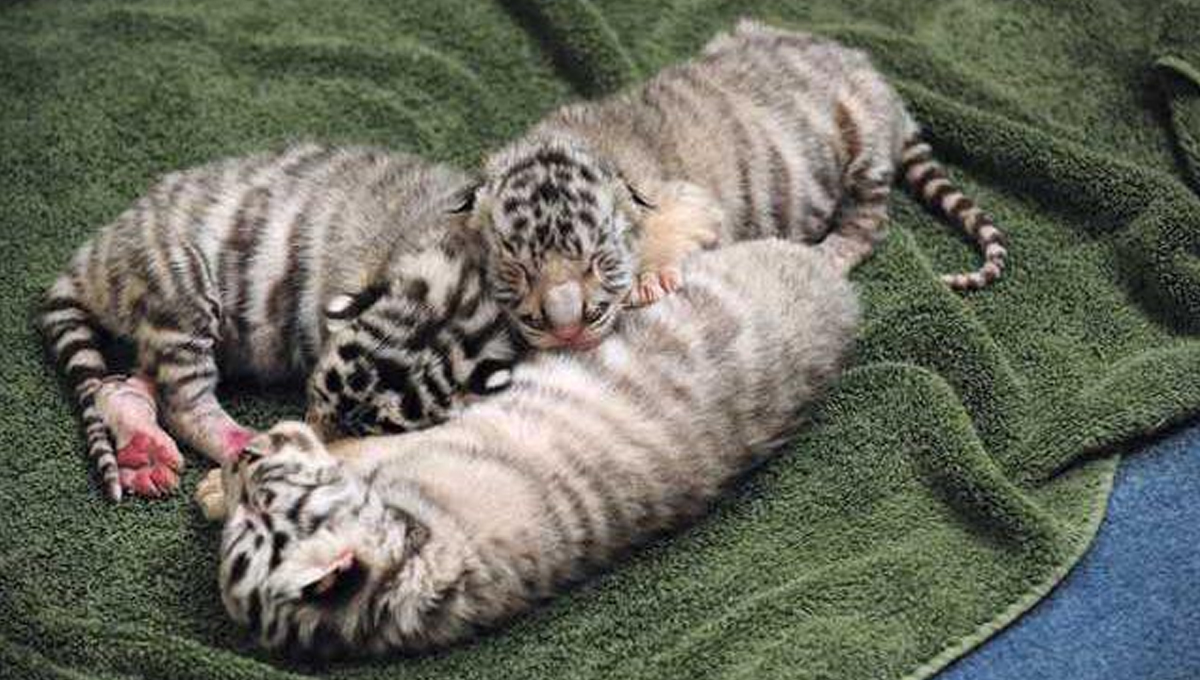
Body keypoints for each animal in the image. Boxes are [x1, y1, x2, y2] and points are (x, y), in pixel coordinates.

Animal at [40, 144, 520, 501]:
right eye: (313, 399)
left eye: (368, 432)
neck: (465, 286)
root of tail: (92, 255)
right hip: (181, 290)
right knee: (184, 403)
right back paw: (231, 441)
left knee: (120, 385)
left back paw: (143, 451)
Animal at [467, 19, 1007, 350]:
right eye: (517, 267)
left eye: (597, 259)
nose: (566, 330)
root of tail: (875, 75)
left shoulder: (684, 199)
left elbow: (671, 229)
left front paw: (651, 277)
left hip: (863, 151)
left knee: (870, 224)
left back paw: (830, 252)